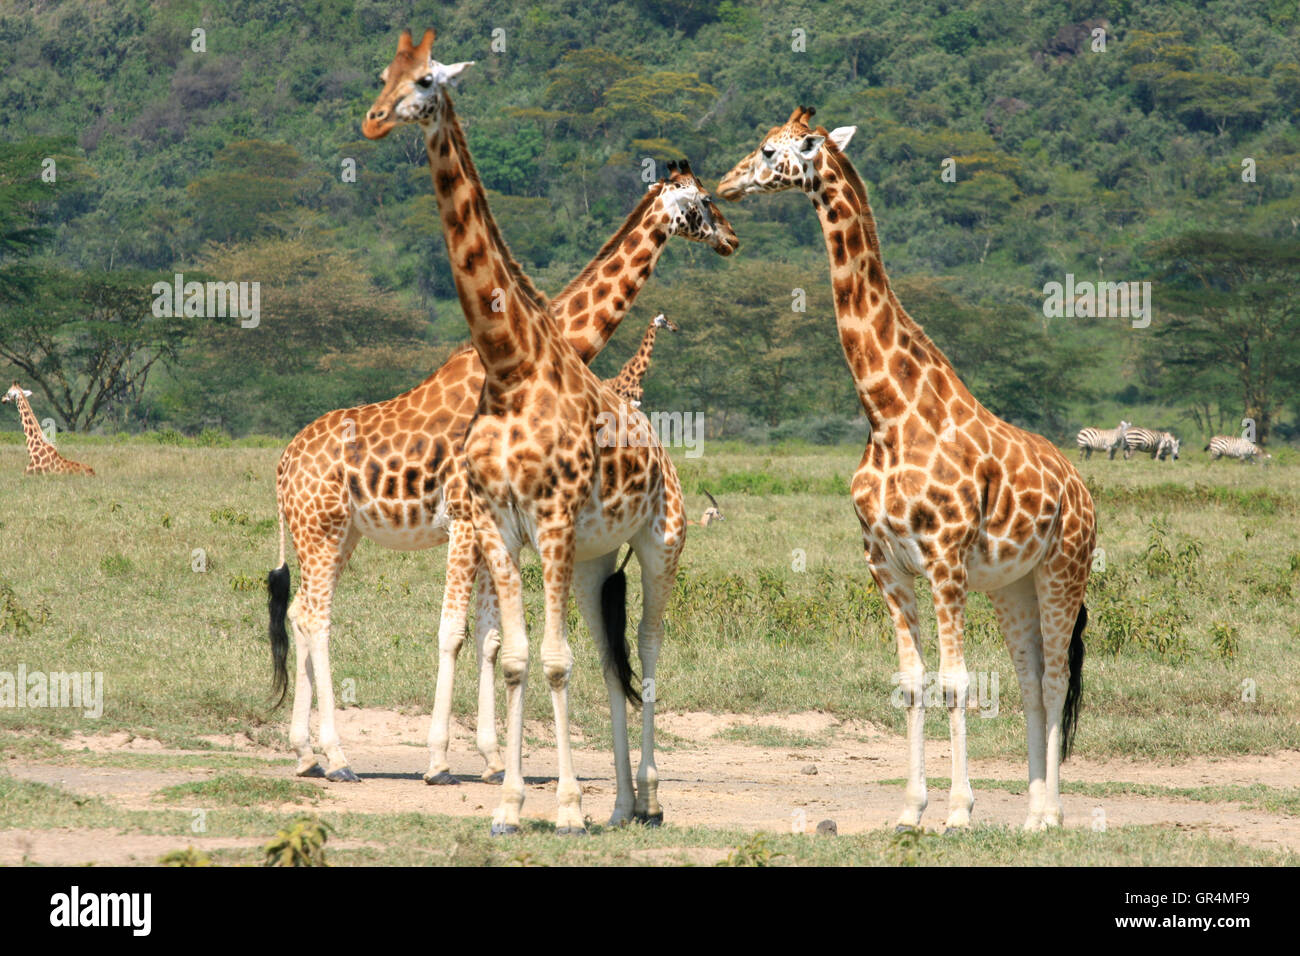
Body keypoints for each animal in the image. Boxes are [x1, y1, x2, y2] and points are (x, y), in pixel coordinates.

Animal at [266, 159, 734, 785]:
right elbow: (453, 632)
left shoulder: (490, 529)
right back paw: (338, 757)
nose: (731, 238)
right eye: (705, 201)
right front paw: (439, 761)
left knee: (298, 612)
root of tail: (283, 465)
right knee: (316, 617)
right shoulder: (467, 521)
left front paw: (490, 759)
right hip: (320, 529)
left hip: (338, 535)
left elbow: (489, 637)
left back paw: (305, 752)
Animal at [361, 28, 694, 833]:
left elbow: (537, 655)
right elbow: (499, 649)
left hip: (655, 546)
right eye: (385, 74)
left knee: (645, 650)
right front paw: (492, 788)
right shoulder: (490, 523)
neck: (514, 363)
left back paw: (646, 798)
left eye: (424, 80)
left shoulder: (544, 523)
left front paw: (554, 799)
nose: (374, 121)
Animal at [718, 107, 1095, 831]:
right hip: (1013, 584)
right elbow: (913, 682)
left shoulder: (945, 558)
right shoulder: (884, 562)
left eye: (771, 150)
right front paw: (911, 810)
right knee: (1032, 681)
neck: (888, 412)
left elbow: (955, 681)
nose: (724, 184)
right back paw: (1033, 813)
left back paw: (1052, 815)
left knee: (1057, 677)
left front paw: (959, 811)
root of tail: (1082, 489)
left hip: (1065, 568)